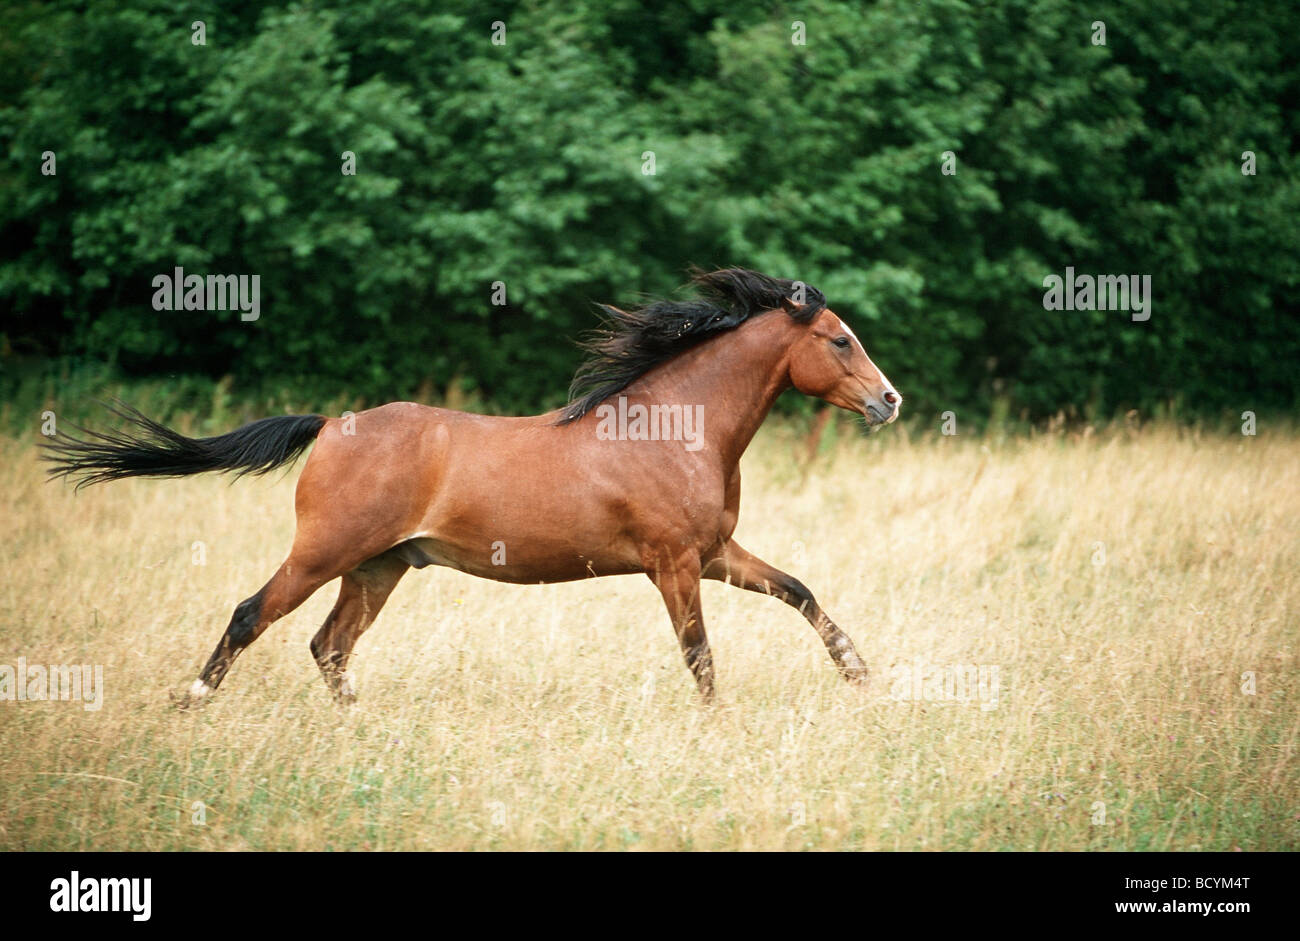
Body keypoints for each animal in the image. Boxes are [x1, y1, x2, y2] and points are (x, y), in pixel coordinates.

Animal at [44, 268, 902, 705]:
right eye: (840, 340)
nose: (889, 400)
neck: (672, 428)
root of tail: (329, 425)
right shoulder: (674, 563)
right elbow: (701, 656)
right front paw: (714, 722)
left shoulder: (715, 551)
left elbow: (798, 590)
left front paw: (858, 671)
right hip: (326, 552)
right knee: (253, 614)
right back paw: (193, 700)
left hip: (379, 565)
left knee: (329, 645)